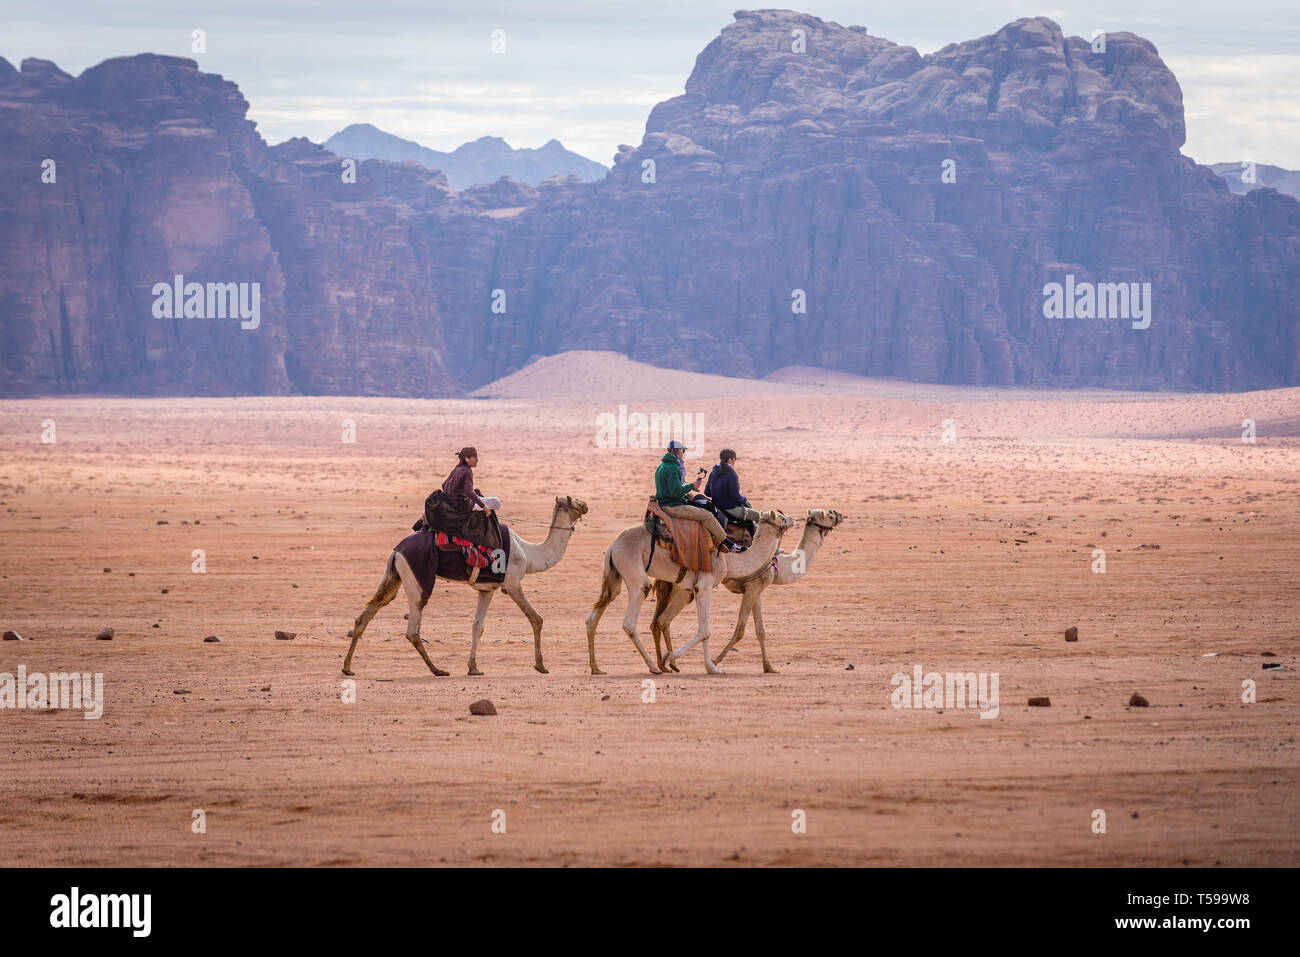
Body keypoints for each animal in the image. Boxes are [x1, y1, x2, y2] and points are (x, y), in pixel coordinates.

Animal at [343, 495, 589, 677]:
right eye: (574, 500)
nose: (586, 505)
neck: (529, 555)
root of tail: (396, 551)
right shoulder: (512, 583)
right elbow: (536, 618)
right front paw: (541, 666)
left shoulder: (487, 589)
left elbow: (477, 626)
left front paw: (473, 668)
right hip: (417, 579)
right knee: (413, 627)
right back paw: (438, 670)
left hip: (394, 576)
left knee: (368, 613)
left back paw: (347, 668)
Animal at [585, 509, 795, 675]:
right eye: (782, 517)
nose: (793, 519)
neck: (729, 560)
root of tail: (612, 547)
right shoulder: (705, 585)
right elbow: (705, 630)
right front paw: (669, 658)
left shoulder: (698, 588)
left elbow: (705, 631)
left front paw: (712, 668)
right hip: (635, 574)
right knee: (630, 620)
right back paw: (654, 666)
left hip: (614, 576)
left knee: (594, 617)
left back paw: (596, 668)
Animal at [650, 508, 845, 674]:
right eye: (828, 514)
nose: (839, 514)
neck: (780, 563)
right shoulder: (752, 587)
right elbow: (740, 630)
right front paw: (717, 660)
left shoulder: (757, 591)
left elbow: (761, 630)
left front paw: (769, 667)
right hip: (683, 590)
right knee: (664, 620)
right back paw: (668, 663)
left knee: (660, 621)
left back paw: (667, 664)